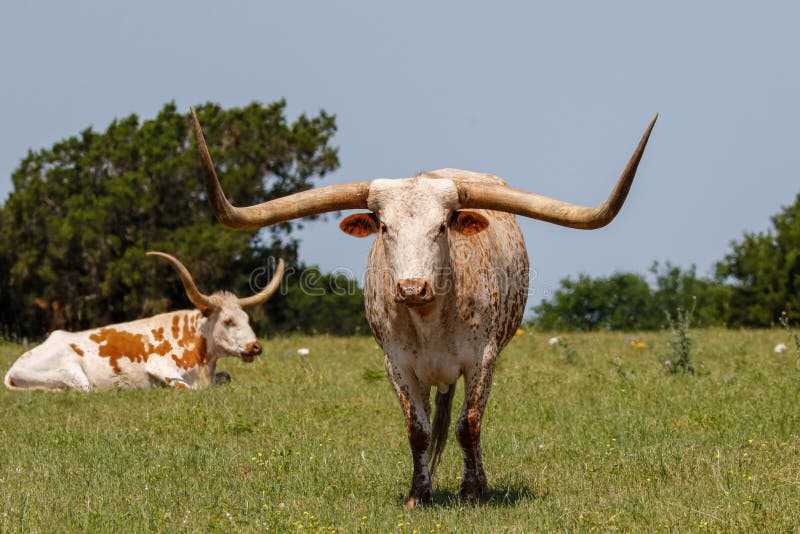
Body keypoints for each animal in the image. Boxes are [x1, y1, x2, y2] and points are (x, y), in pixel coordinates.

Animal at [4, 252, 284, 392]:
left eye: (246, 318)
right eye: (228, 320)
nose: (256, 346)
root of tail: (15, 366)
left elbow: (225, 378)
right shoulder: (160, 366)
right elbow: (187, 387)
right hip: (72, 374)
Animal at [189, 107, 657, 506]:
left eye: (442, 226)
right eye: (385, 227)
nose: (412, 288)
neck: (429, 318)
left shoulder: (482, 359)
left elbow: (470, 425)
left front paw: (473, 493)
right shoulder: (396, 363)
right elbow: (418, 430)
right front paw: (420, 495)